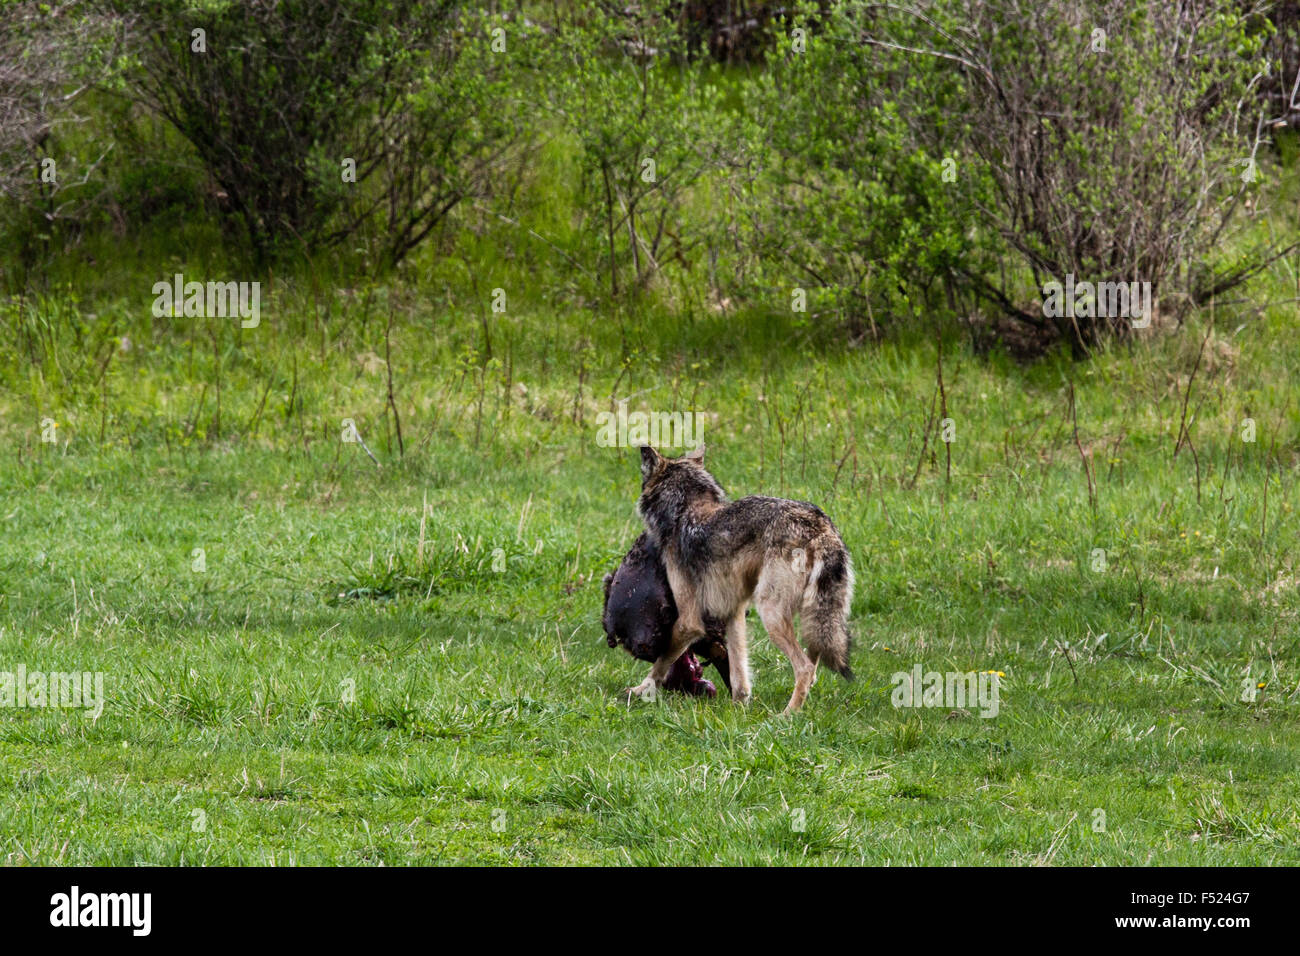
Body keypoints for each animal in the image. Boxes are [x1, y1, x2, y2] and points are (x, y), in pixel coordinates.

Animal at [630, 445, 853, 713]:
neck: (684, 510)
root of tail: (820, 526)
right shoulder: (733, 611)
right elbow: (739, 672)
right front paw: (738, 709)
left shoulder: (689, 621)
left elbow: (660, 664)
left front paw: (638, 691)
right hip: (814, 620)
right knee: (814, 668)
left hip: (771, 613)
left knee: (805, 669)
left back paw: (786, 716)